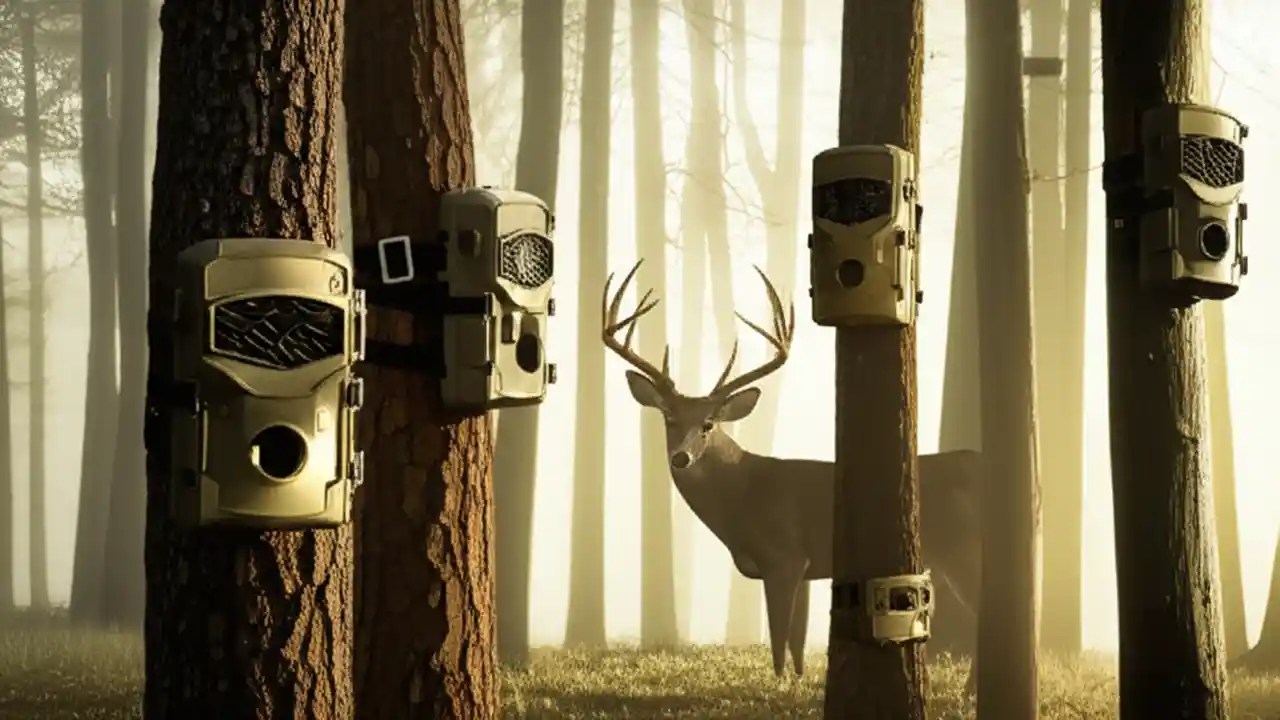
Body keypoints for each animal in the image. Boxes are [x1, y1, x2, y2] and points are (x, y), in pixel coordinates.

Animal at [602, 259, 984, 677]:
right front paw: (799, 680)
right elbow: (796, 648)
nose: (681, 458)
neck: (743, 499)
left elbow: (778, 644)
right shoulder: (807, 570)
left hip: (964, 546)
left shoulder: (784, 555)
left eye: (708, 424)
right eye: (669, 418)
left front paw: (780, 681)